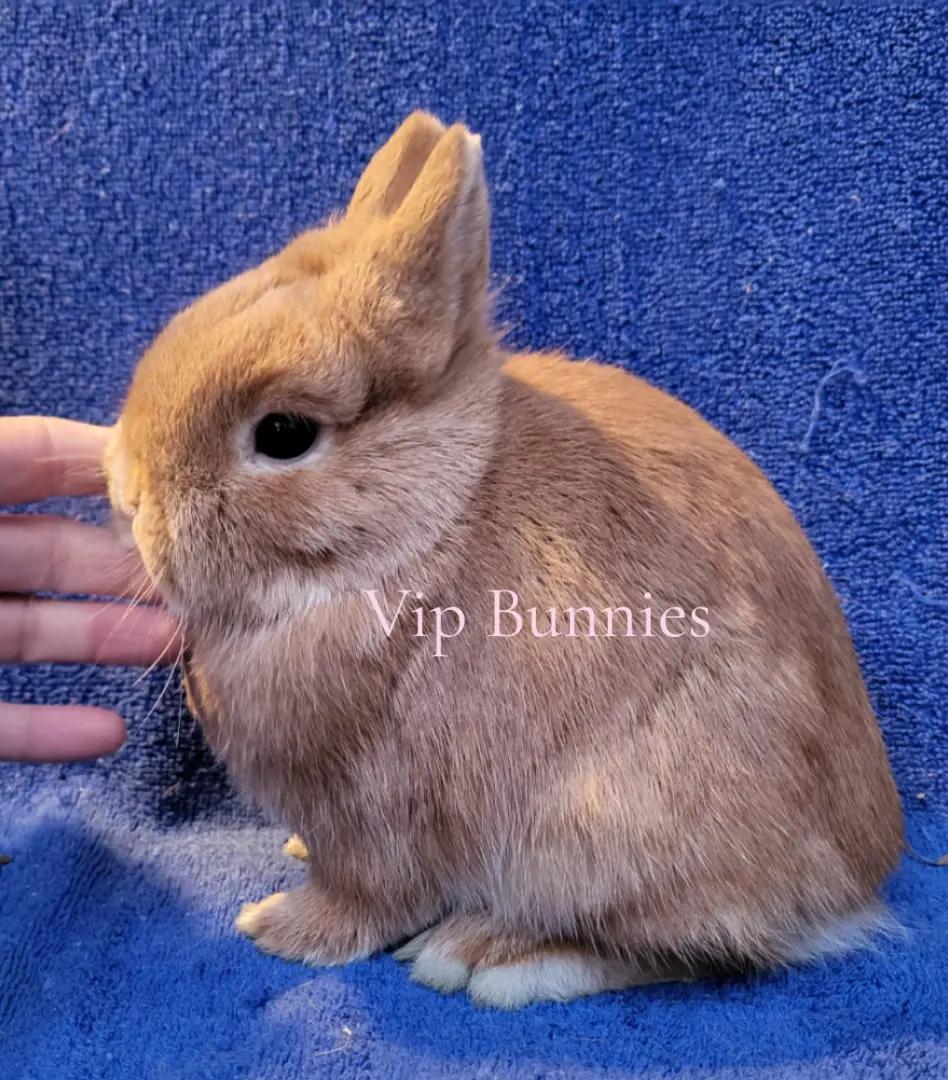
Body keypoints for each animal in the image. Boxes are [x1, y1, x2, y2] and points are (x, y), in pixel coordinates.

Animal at [105, 111, 904, 1008]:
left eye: (283, 434)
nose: (129, 496)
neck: (415, 534)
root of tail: (854, 880)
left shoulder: (376, 813)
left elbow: (366, 900)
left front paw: (281, 928)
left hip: (599, 831)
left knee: (688, 946)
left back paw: (490, 956)